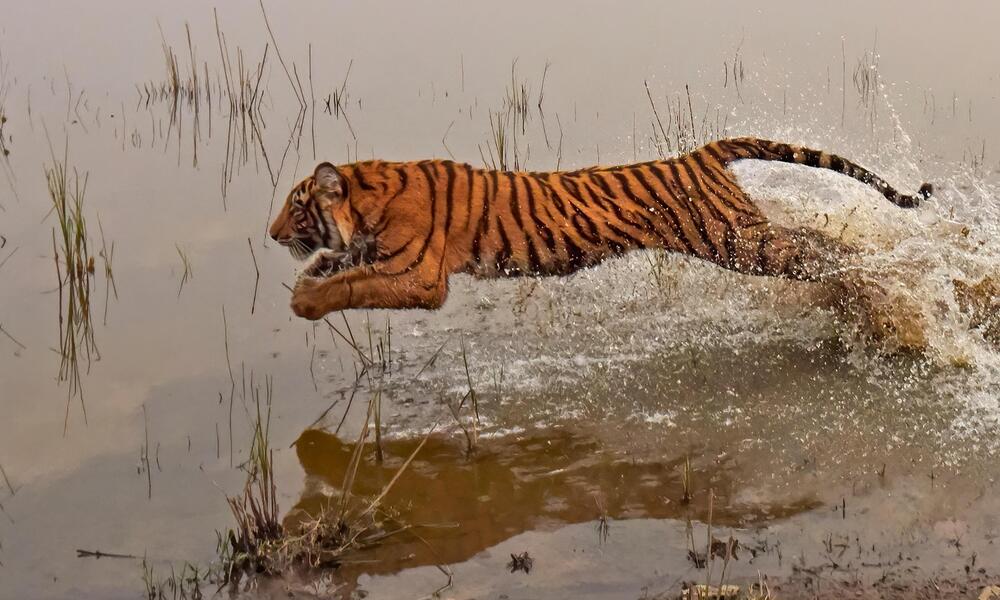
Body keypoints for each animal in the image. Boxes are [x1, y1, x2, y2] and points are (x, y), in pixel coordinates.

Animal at [269, 137, 933, 344]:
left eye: (297, 208)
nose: (272, 234)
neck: (368, 195)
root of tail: (701, 153)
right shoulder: (378, 256)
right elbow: (341, 268)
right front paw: (307, 282)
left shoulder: (421, 276)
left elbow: (352, 286)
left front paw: (304, 302)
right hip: (743, 235)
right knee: (820, 245)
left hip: (736, 240)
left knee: (821, 252)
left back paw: (881, 288)